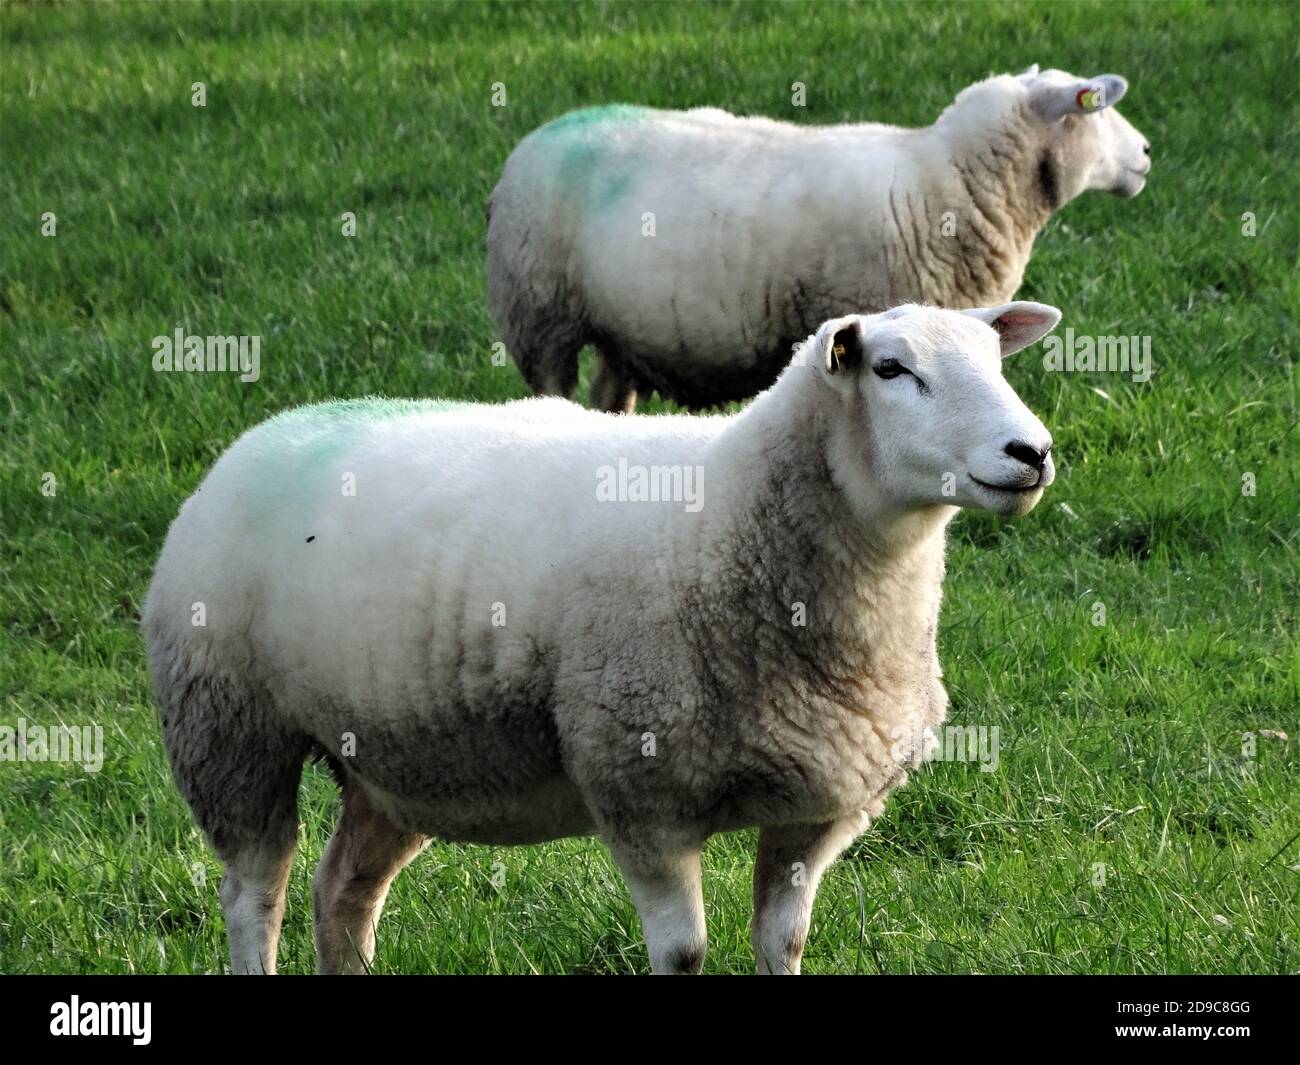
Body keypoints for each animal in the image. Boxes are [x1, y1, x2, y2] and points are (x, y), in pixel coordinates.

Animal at [144, 300, 1062, 975]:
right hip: (229, 728)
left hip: (396, 760)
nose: (1033, 451)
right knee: (254, 895)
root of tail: (263, 433)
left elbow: (785, 943)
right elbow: (685, 952)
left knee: (341, 892)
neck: (730, 517)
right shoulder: (640, 788)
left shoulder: (819, 810)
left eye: (997, 359)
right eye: (891, 368)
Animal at [486, 66, 1147, 412]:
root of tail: (528, 143)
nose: (1144, 152)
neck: (943, 180)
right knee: (552, 385)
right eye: (1093, 111)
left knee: (610, 392)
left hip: (621, 327)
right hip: (539, 312)